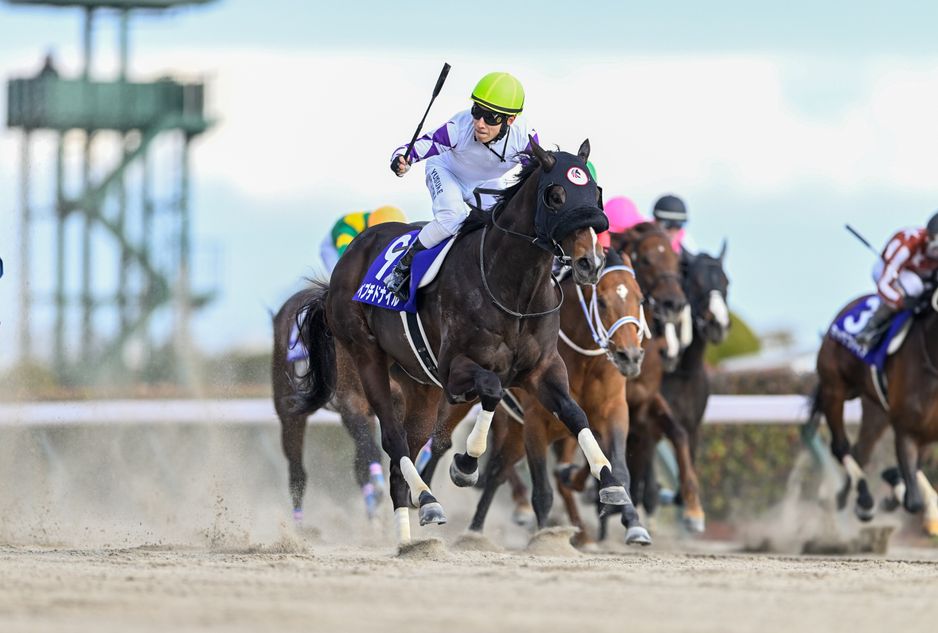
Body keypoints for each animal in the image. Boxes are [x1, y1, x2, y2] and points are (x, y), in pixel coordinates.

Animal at [465, 248, 652, 544]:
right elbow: (543, 491)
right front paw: (547, 540)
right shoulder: (536, 421)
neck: (585, 362)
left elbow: (618, 469)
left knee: (497, 470)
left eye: (640, 298)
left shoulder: (613, 411)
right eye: (601, 301)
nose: (630, 357)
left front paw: (633, 523)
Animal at [807, 280, 938, 531]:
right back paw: (863, 499)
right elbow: (913, 500)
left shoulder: (927, 432)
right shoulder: (906, 428)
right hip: (833, 390)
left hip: (876, 409)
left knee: (861, 451)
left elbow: (911, 474)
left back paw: (847, 498)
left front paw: (894, 486)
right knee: (841, 447)